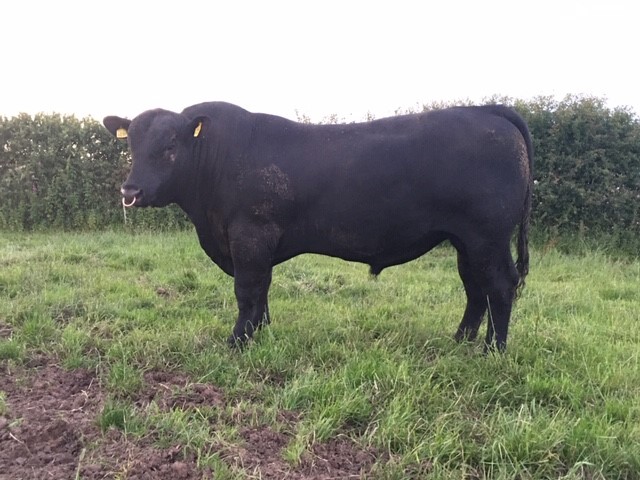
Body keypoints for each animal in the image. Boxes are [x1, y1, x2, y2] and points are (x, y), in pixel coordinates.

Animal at [103, 102, 532, 352]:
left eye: (170, 146)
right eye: (132, 146)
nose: (131, 190)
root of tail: (487, 110)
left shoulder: (250, 236)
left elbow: (247, 290)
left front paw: (237, 342)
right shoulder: (257, 244)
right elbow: (262, 291)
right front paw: (261, 332)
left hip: (487, 237)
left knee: (498, 286)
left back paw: (493, 351)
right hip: (466, 241)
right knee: (475, 288)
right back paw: (460, 341)